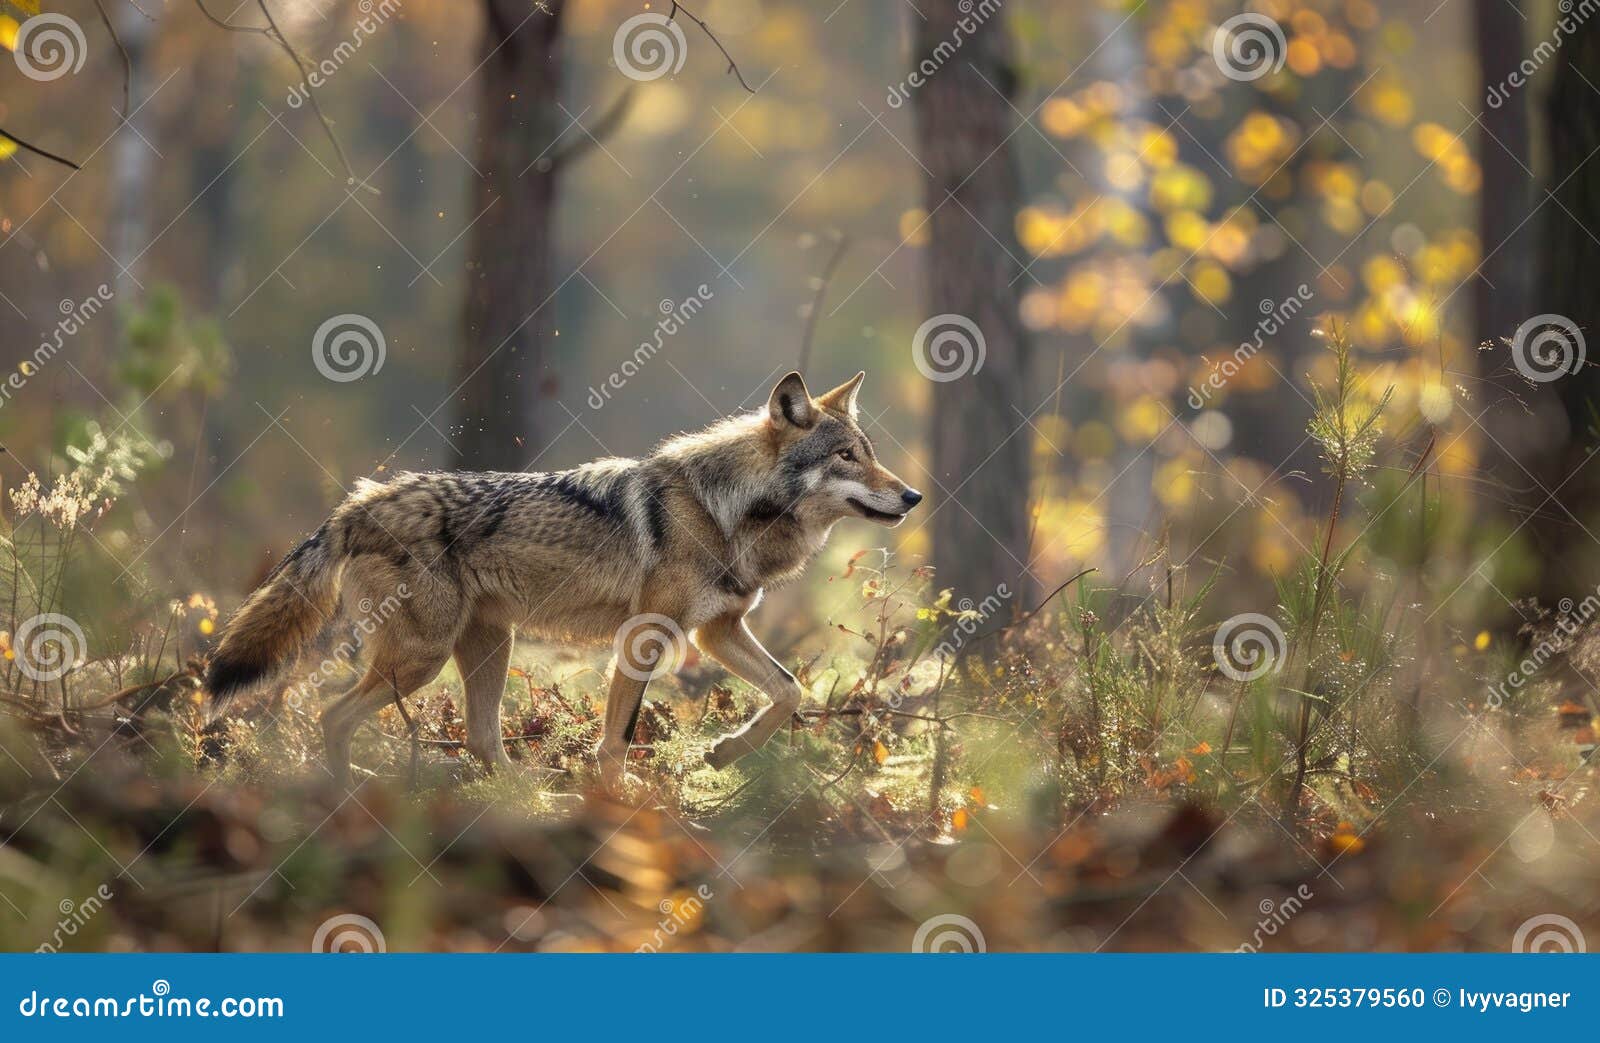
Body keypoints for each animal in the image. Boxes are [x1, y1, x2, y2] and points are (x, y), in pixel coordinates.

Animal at [204, 371, 922, 793]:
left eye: (869, 452)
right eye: (846, 456)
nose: (913, 495)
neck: (728, 510)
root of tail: (357, 501)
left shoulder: (717, 631)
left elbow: (788, 690)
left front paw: (724, 753)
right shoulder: (646, 636)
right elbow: (619, 735)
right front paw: (620, 800)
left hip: (486, 647)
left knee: (480, 739)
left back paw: (529, 796)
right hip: (420, 659)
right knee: (331, 715)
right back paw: (349, 792)